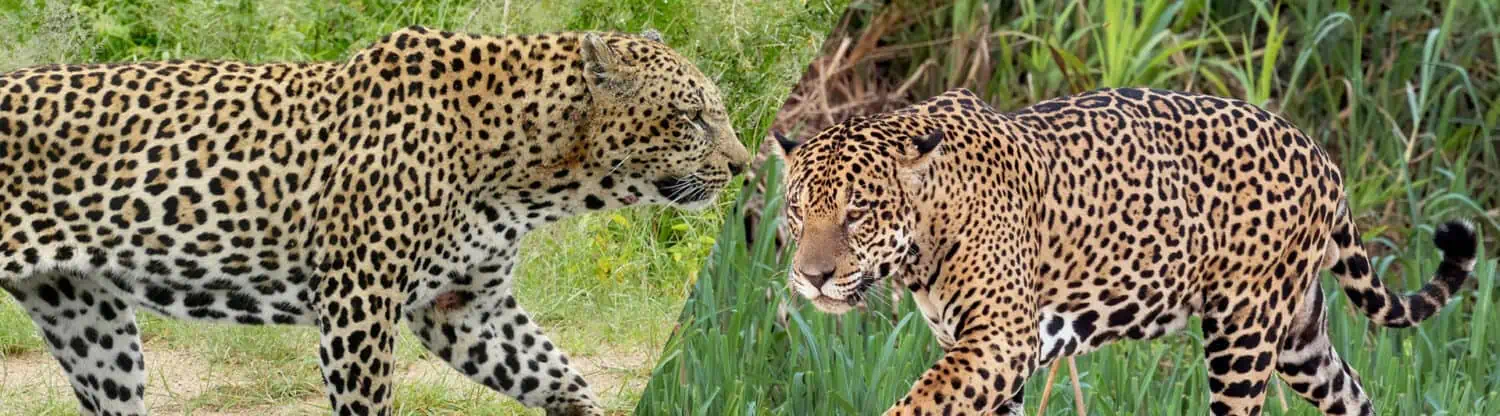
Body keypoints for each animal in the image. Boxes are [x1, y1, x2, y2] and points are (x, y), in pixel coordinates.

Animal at [0, 26, 748, 416]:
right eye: (692, 116)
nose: (743, 167)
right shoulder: (357, 301)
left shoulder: (464, 306)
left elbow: (559, 374)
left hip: (88, 320)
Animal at [775, 88, 1480, 416]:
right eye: (797, 211)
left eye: (858, 213)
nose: (811, 278)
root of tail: (1322, 156)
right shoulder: (988, 360)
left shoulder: (1000, 342)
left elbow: (918, 402)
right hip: (1300, 338)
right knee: (1354, 396)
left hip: (1244, 334)